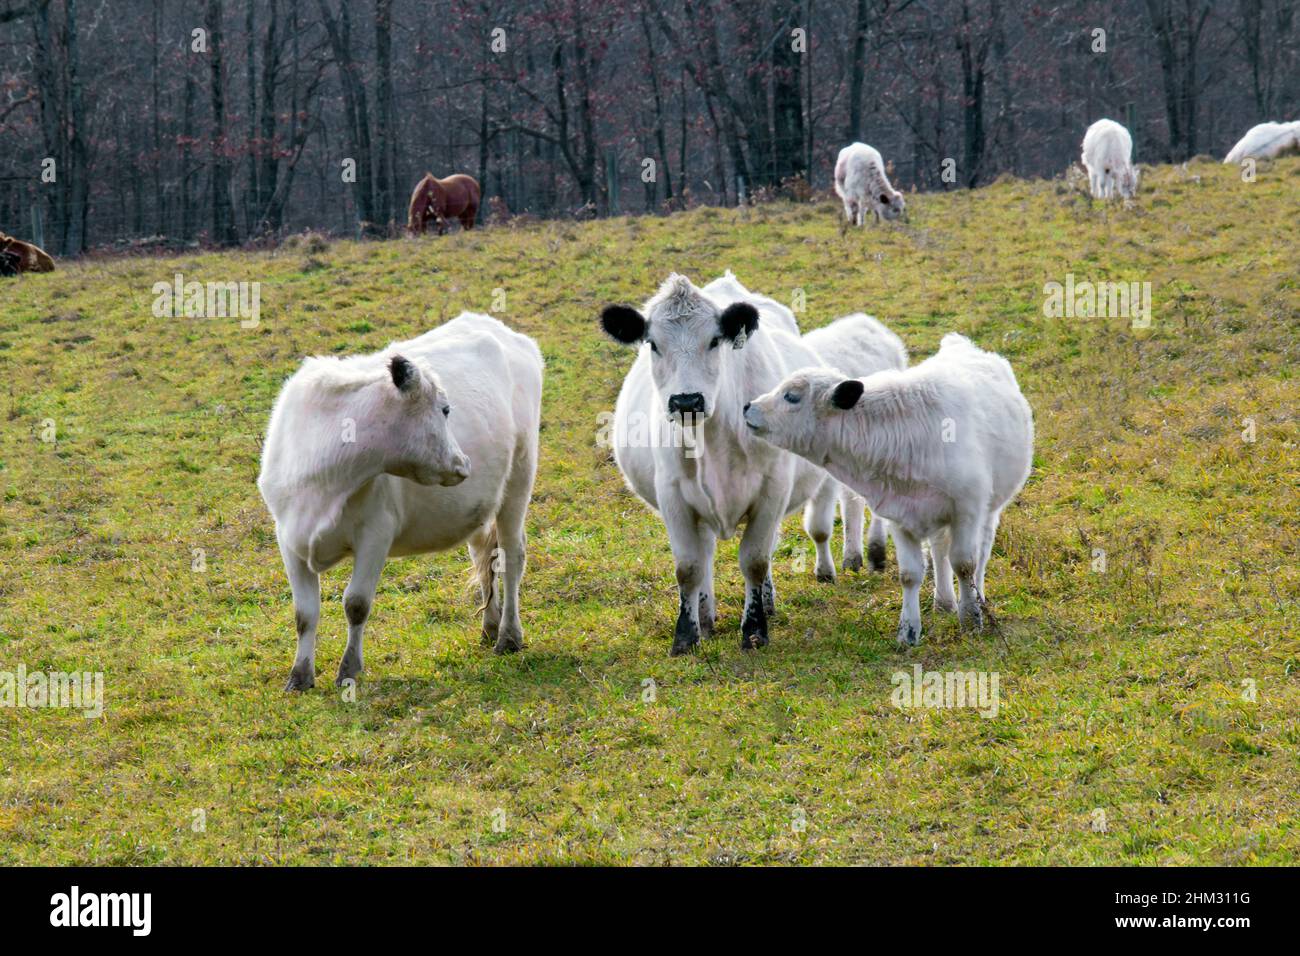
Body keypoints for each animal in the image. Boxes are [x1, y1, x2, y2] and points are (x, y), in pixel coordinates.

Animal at [258, 312, 542, 690]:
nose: (463, 463)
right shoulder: (288, 537)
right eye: (445, 408)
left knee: (511, 555)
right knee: (484, 555)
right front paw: (300, 676)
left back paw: (509, 636)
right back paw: (490, 627)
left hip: (519, 479)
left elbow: (356, 603)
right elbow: (304, 613)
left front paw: (349, 669)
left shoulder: (376, 533)